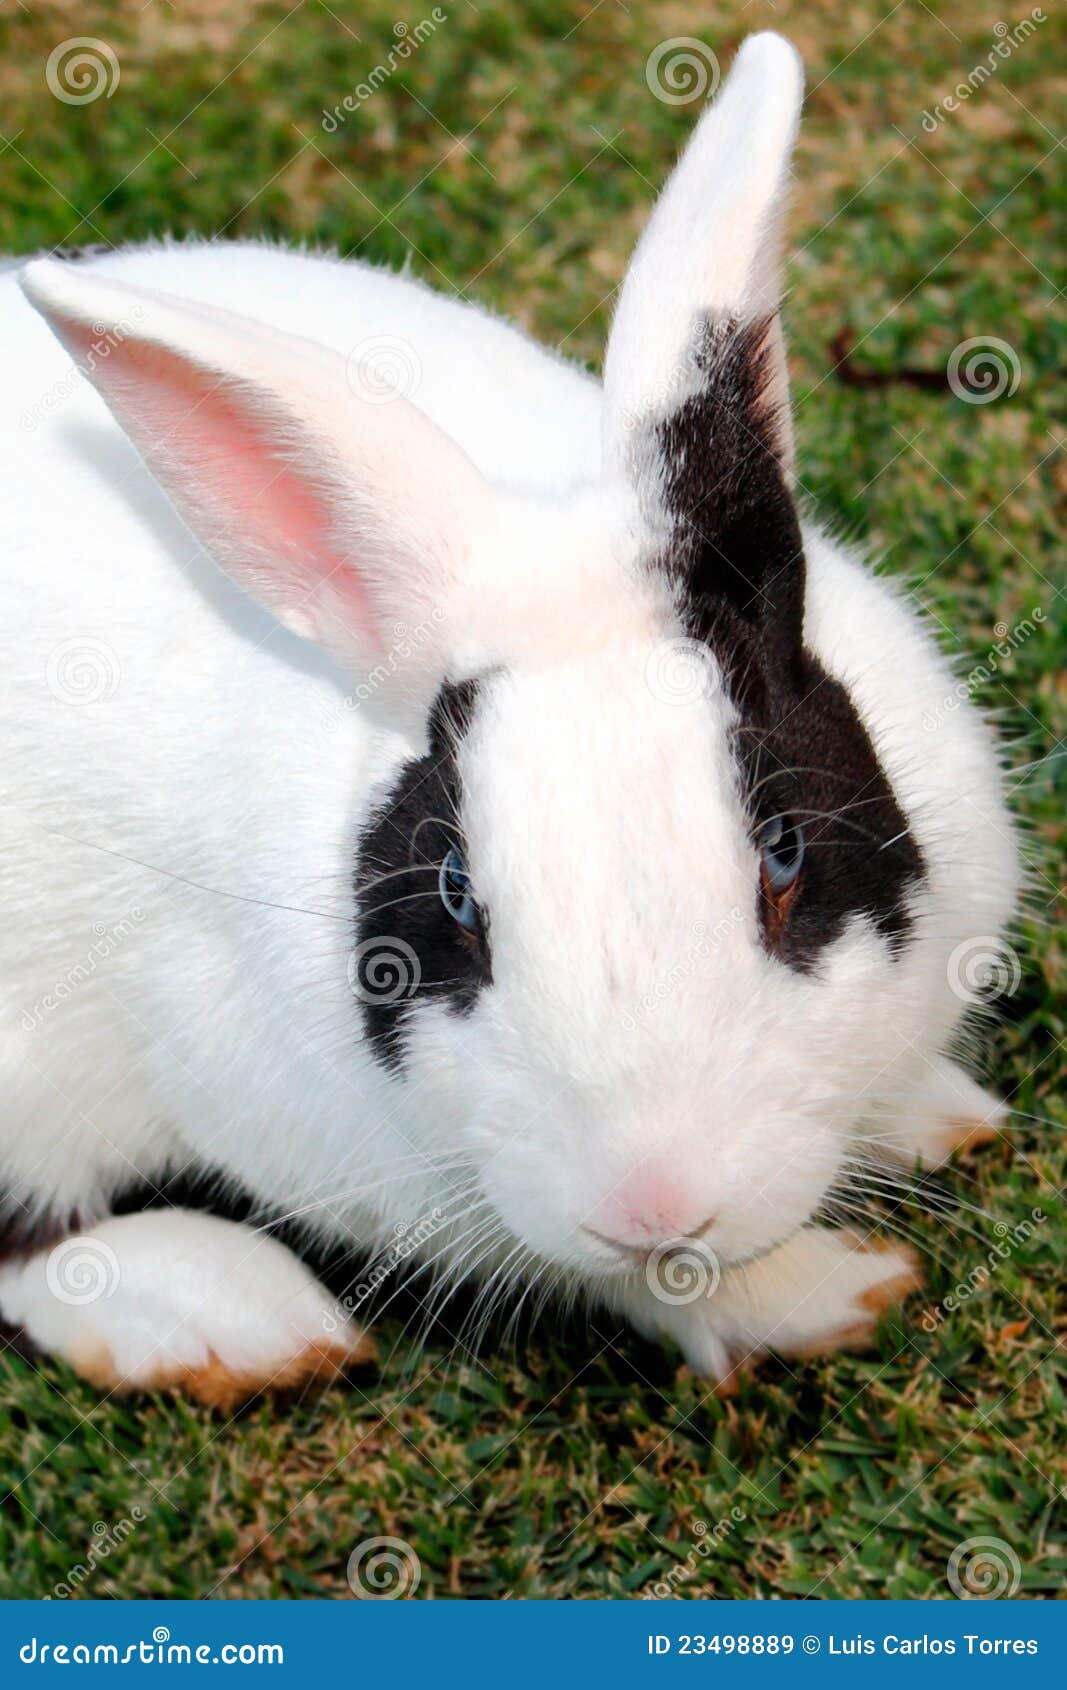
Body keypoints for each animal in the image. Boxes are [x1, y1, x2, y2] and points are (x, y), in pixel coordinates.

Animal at [0, 33, 1019, 1407]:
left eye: (784, 850)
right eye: (456, 897)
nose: (652, 1202)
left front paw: (931, 1113)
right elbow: (629, 1280)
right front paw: (813, 1296)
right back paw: (230, 1318)